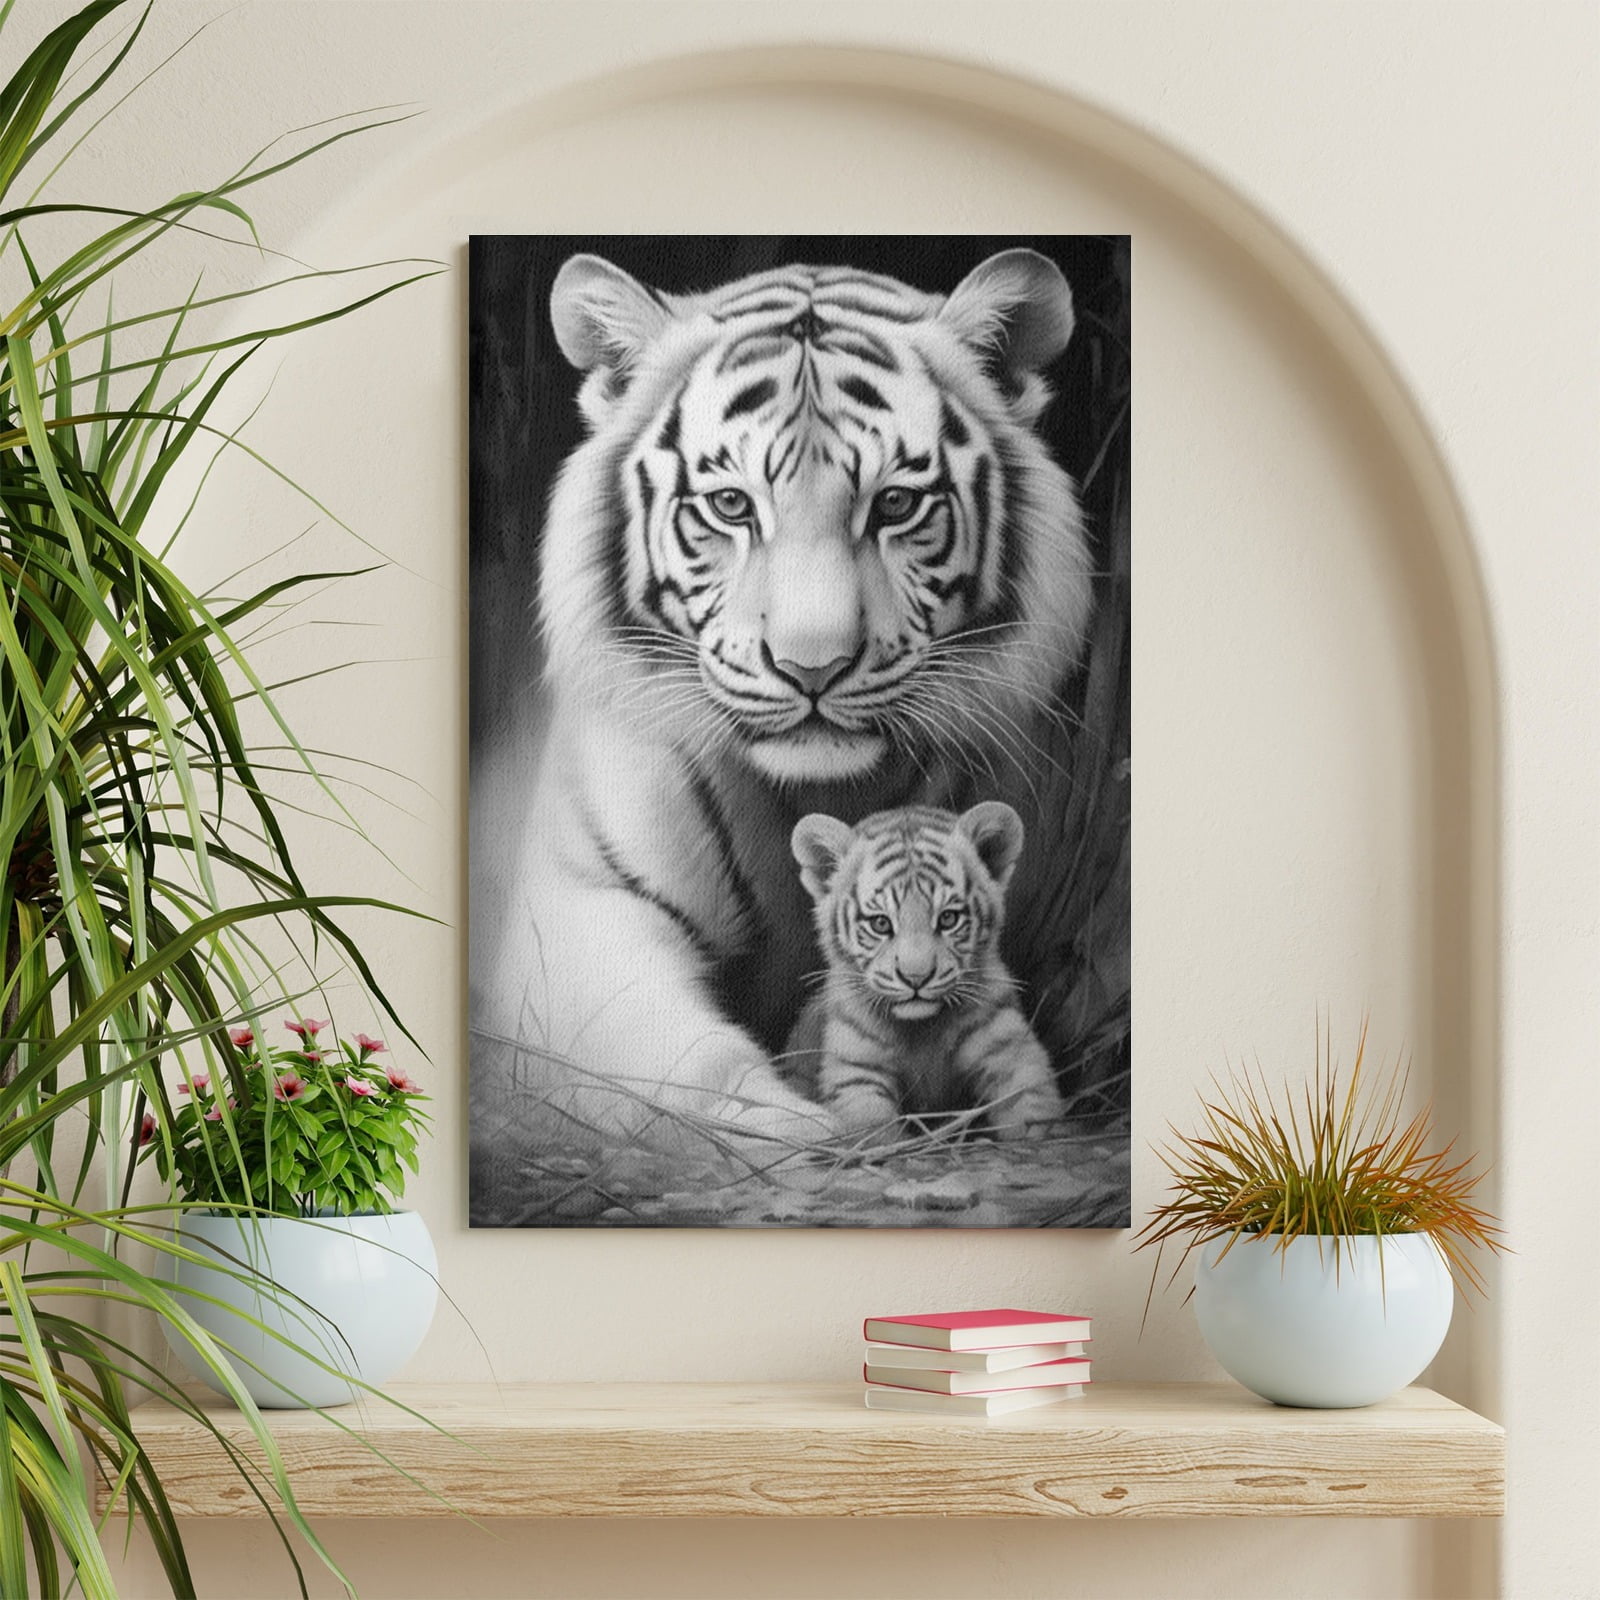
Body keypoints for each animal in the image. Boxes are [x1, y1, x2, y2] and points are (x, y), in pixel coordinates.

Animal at [783, 802, 1065, 1142]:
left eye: (948, 918)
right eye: (880, 923)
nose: (916, 977)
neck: (922, 1030)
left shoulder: (1010, 1051)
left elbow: (1031, 1103)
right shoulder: (856, 1070)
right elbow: (872, 1126)